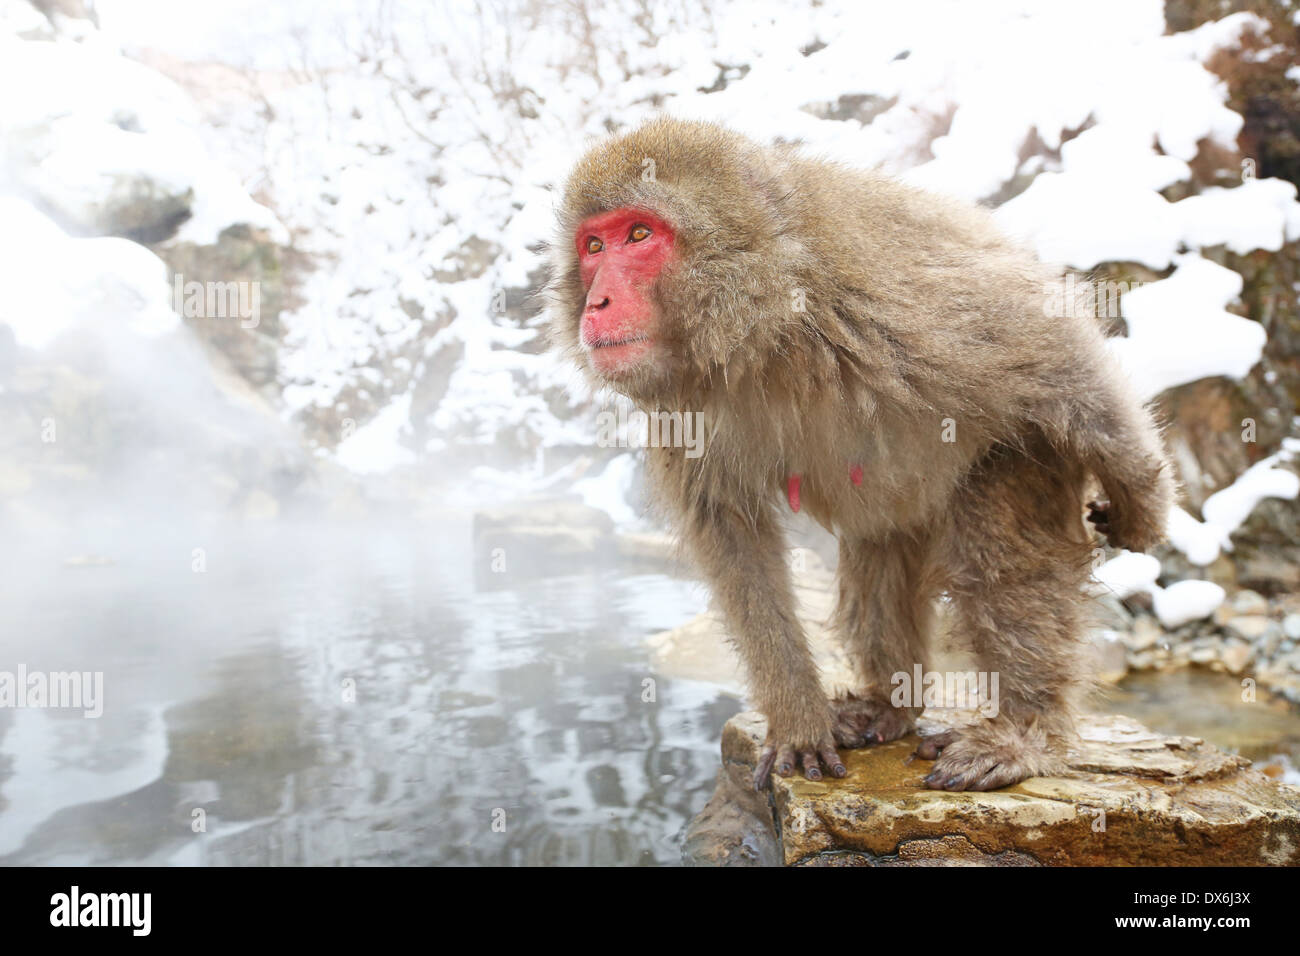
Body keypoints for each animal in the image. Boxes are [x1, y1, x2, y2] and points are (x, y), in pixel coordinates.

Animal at [547, 117, 1174, 792]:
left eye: (639, 235)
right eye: (593, 246)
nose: (597, 302)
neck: (769, 322)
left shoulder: (886, 301)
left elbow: (1053, 349)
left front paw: (1144, 499)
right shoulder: (683, 407)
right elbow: (734, 538)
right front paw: (800, 721)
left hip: (1026, 449)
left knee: (1003, 548)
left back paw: (1022, 734)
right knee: (881, 542)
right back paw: (889, 703)